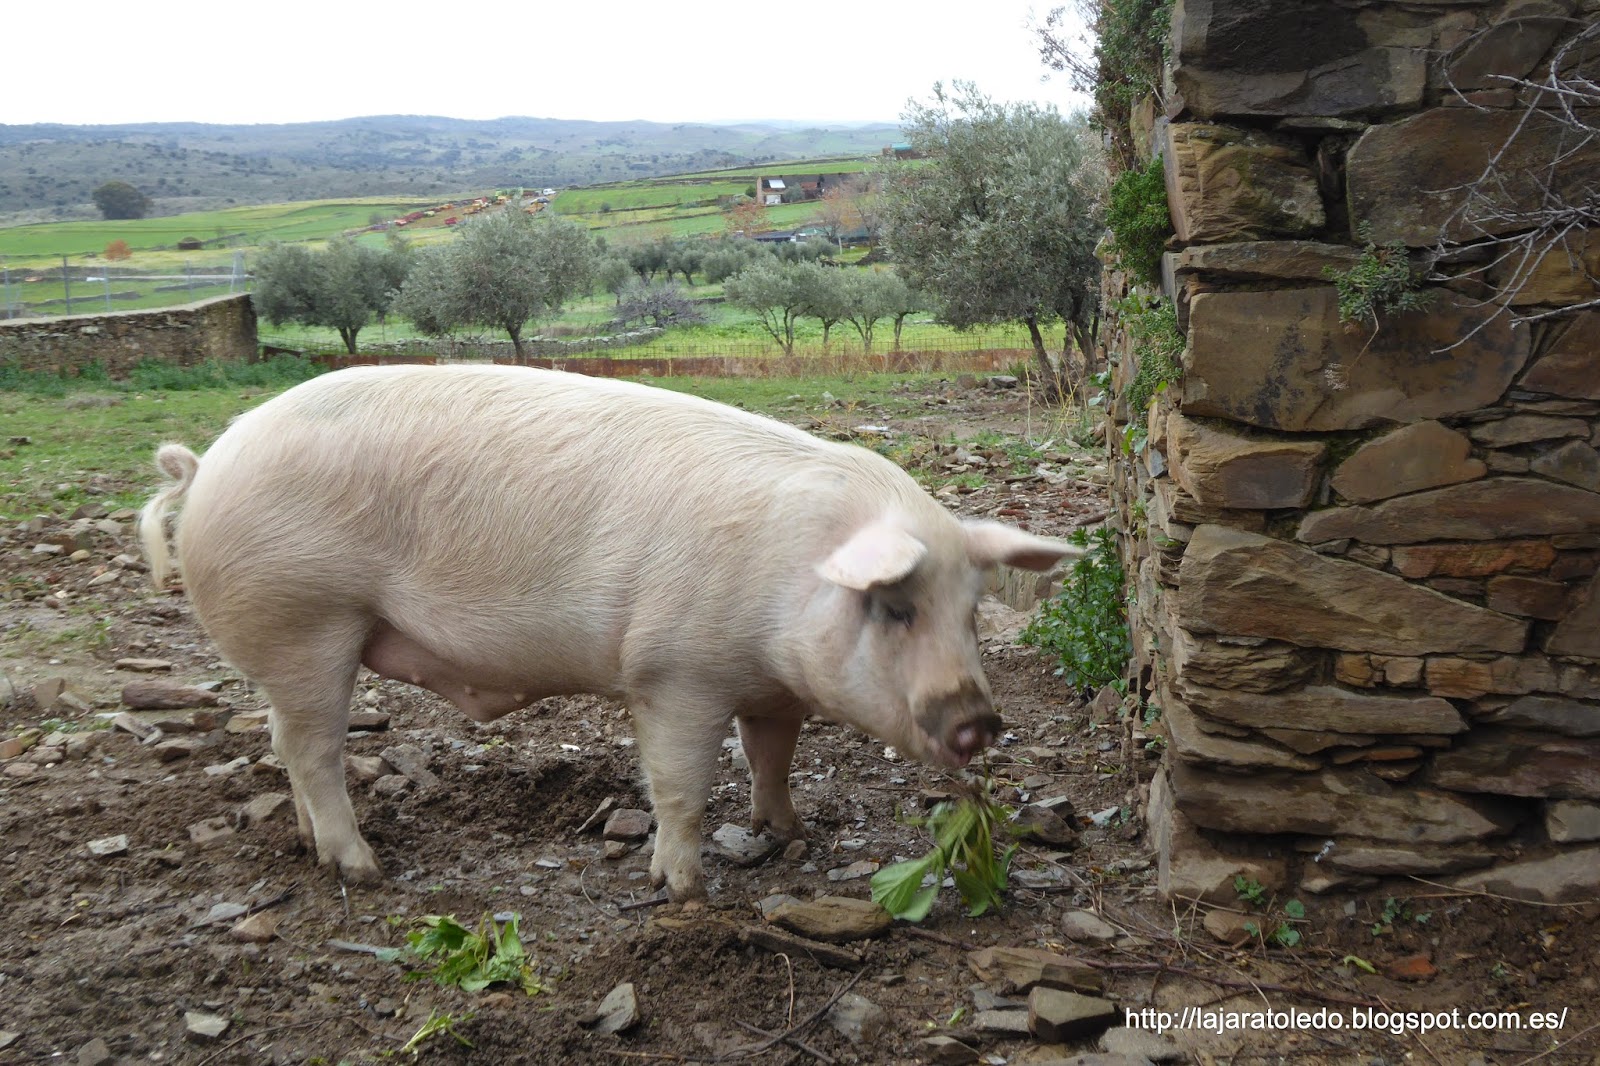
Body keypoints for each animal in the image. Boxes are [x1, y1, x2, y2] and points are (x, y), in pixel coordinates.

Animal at [139, 365, 1080, 900]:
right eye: (892, 606)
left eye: (969, 611)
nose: (980, 719)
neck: (786, 584)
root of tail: (206, 466)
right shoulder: (674, 673)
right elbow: (680, 786)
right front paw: (683, 889)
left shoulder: (771, 688)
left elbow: (773, 757)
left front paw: (789, 834)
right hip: (307, 620)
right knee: (313, 748)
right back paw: (361, 870)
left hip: (291, 644)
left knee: (279, 737)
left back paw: (309, 847)